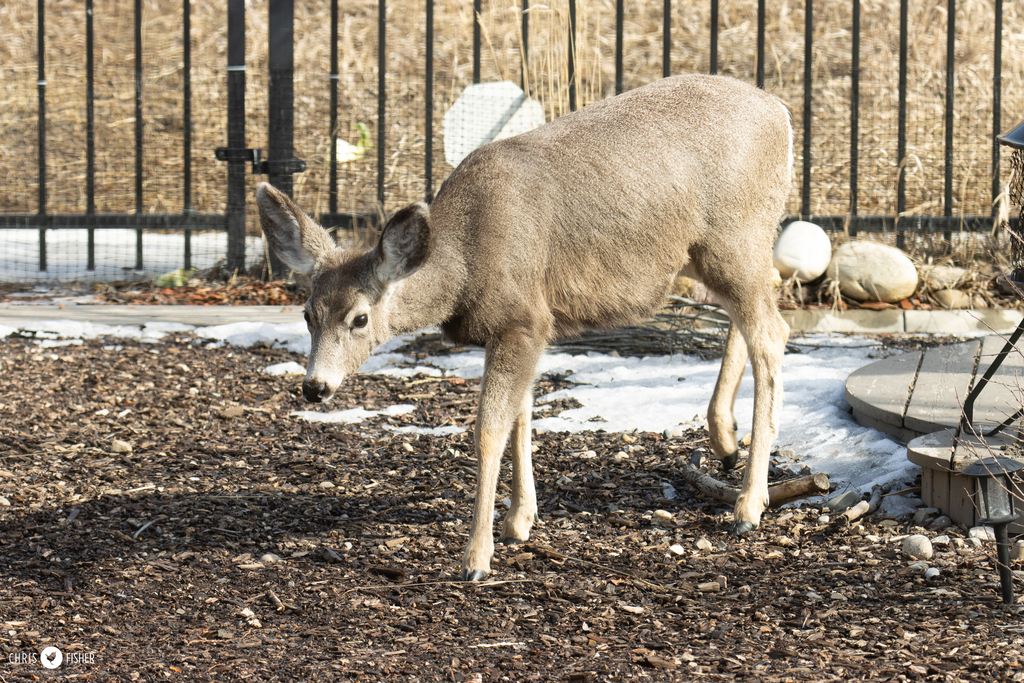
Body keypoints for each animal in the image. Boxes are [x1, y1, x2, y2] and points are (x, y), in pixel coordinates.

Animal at [257, 74, 793, 581]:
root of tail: (783, 114)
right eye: (307, 314)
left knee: (772, 330)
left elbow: (489, 428)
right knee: (759, 304)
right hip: (716, 251)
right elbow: (522, 413)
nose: (315, 386)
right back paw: (725, 441)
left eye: (360, 318)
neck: (466, 262)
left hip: (734, 234)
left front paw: (478, 556)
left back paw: (749, 504)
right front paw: (520, 519)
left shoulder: (524, 318)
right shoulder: (525, 326)